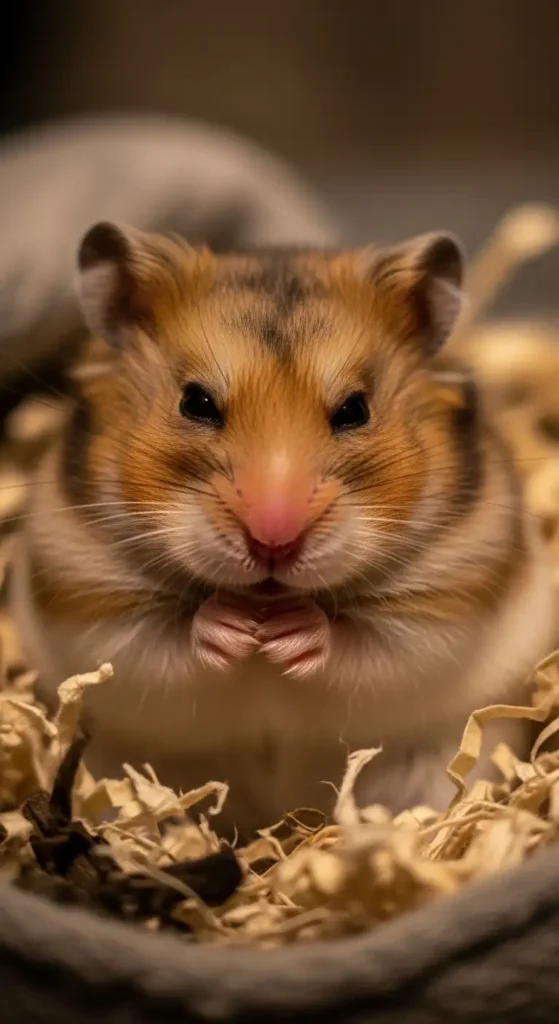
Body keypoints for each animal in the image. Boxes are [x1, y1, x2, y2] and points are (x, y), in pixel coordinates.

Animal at [11, 222, 556, 836]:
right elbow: (157, 640)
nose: (274, 540)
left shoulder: (446, 599)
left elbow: (369, 643)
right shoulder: (87, 594)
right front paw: (236, 626)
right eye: (195, 402)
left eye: (354, 409)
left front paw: (285, 632)